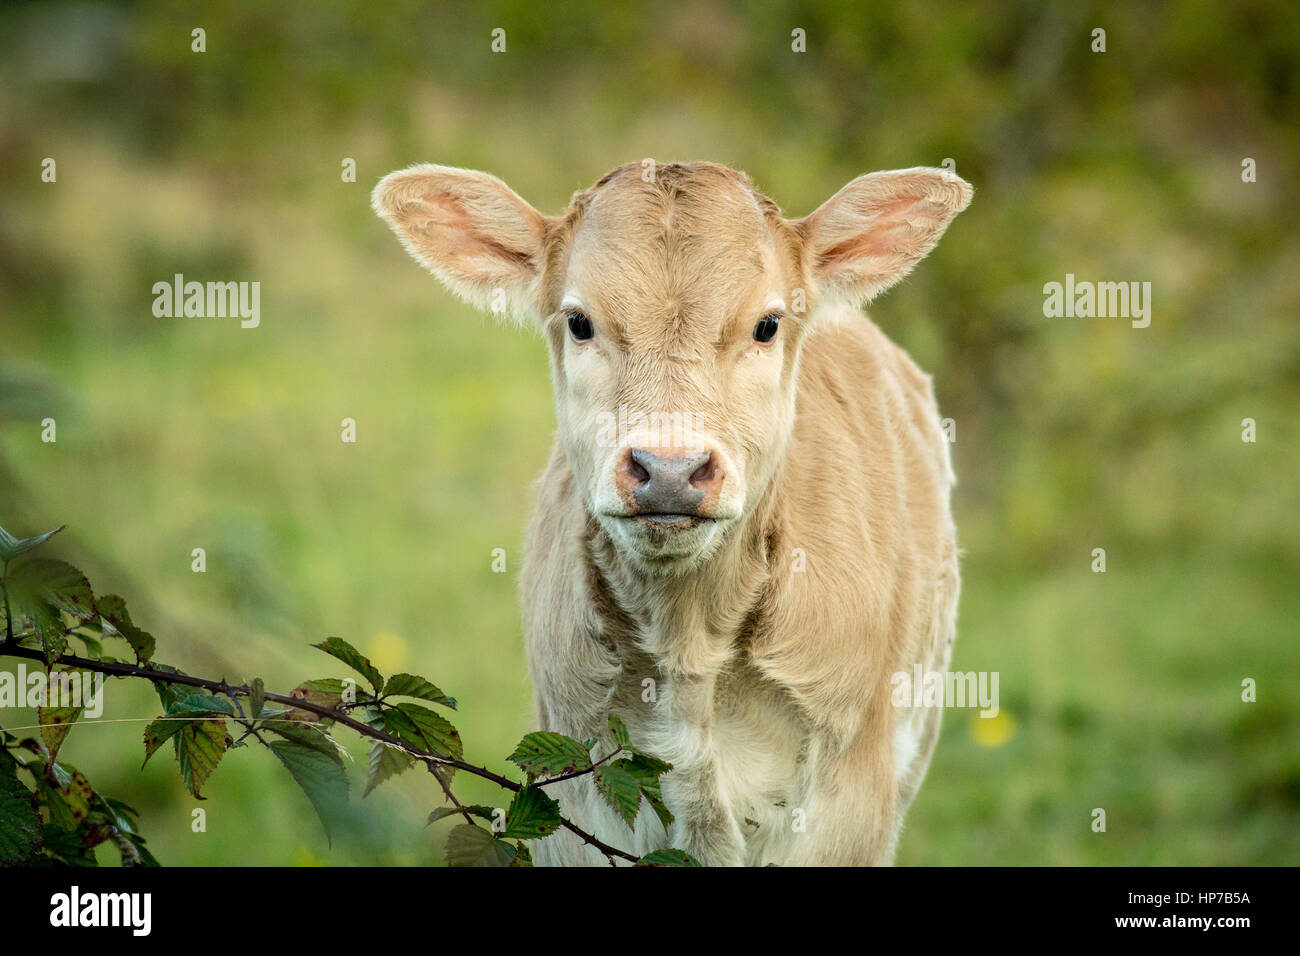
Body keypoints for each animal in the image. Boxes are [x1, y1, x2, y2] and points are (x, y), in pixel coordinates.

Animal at [372, 160, 971, 865]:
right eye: (579, 321)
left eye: (767, 324)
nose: (670, 470)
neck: (688, 644)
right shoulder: (571, 802)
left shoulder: (848, 807)